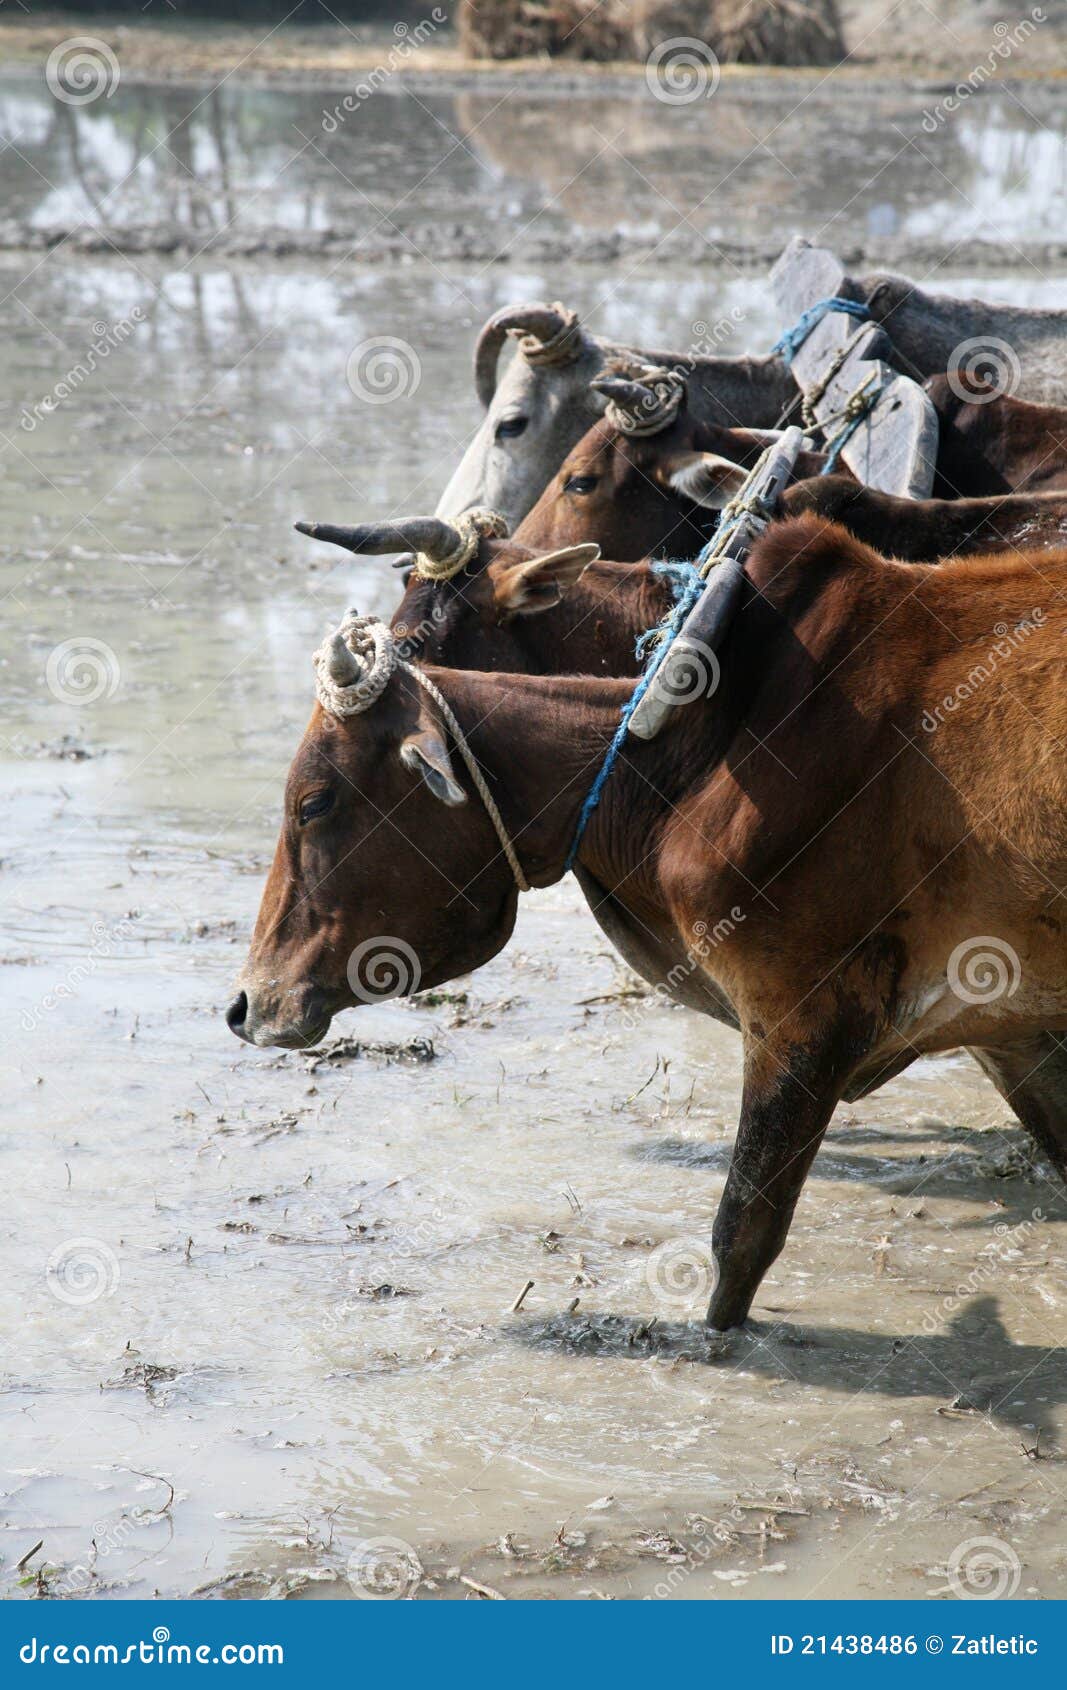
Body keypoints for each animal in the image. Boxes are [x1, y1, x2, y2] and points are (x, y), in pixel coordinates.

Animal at [231, 515, 1067, 1329]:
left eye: (313, 803)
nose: (246, 1004)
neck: (697, 754)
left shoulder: (799, 1023)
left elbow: (740, 1240)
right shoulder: (1011, 1029)